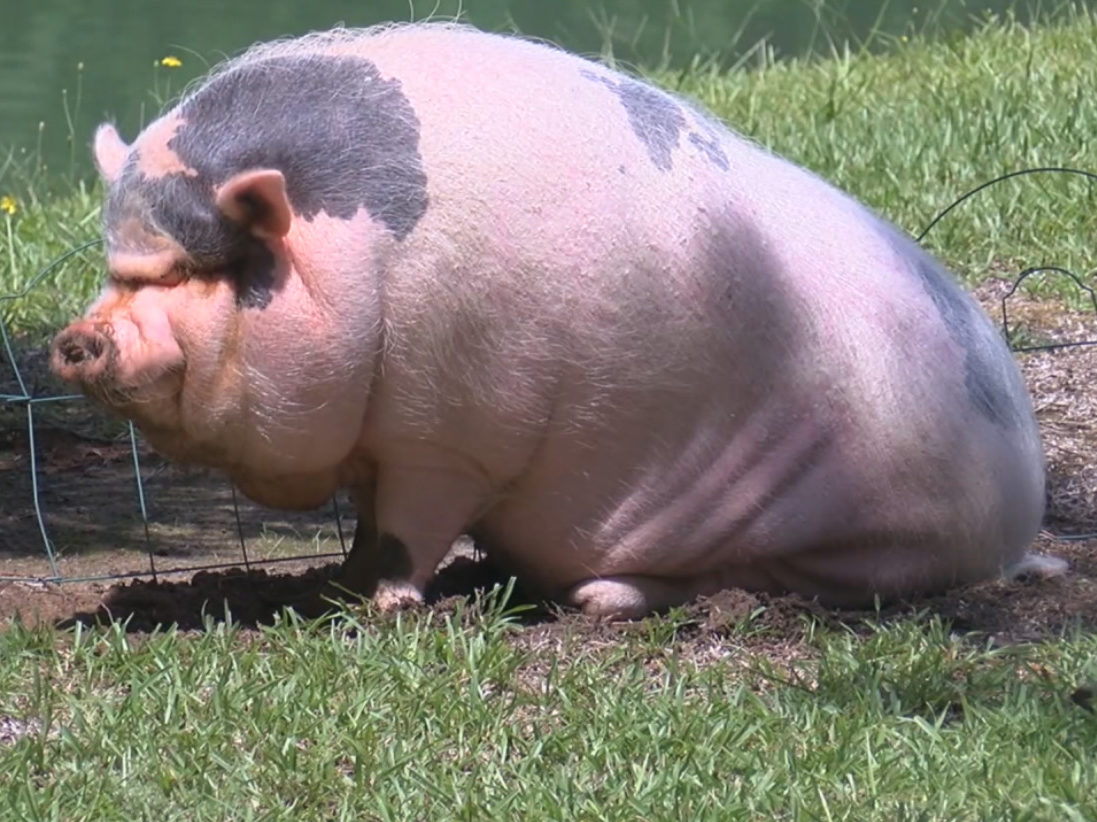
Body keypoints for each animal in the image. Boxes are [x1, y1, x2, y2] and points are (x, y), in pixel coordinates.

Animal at [50, 22, 1063, 619]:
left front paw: (383, 606)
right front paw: (337, 584)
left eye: (203, 269)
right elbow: (368, 520)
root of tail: (1024, 507)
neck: (360, 267)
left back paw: (593, 595)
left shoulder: (448, 436)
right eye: (122, 268)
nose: (76, 339)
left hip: (870, 547)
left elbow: (409, 528)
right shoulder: (387, 439)